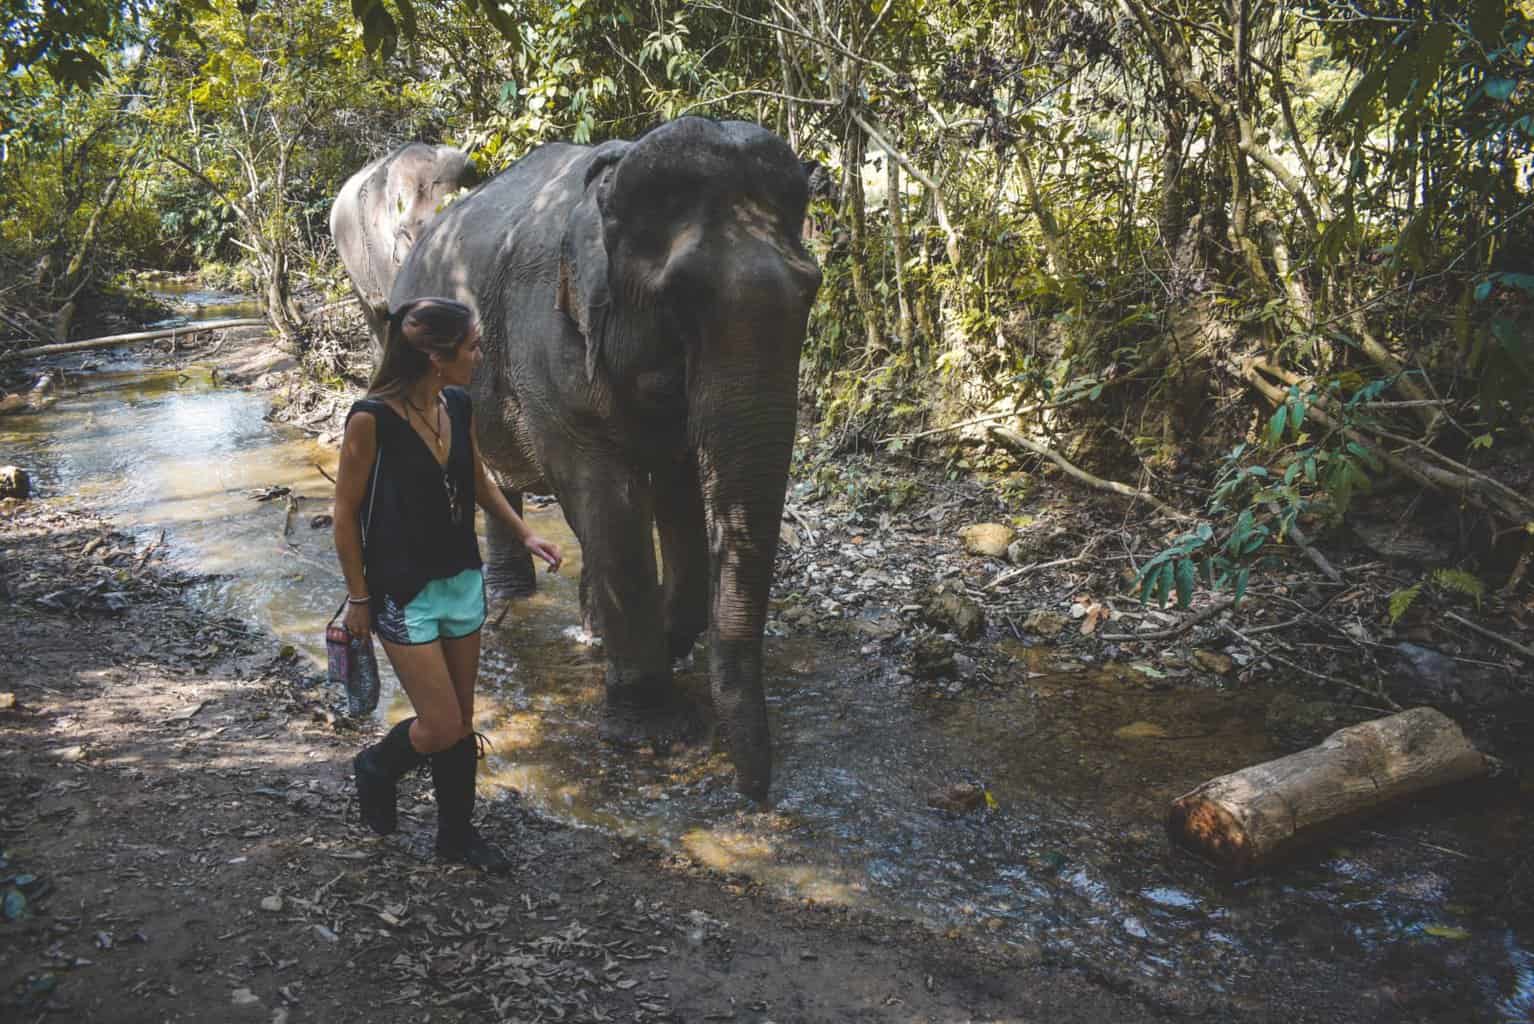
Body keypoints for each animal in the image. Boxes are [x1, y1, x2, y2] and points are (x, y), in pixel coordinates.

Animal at [389, 117, 822, 804]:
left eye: (812, 289)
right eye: (679, 297)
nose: (756, 793)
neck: (609, 183)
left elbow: (675, 482)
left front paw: (654, 638)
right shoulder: (546, 341)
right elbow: (608, 497)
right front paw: (653, 730)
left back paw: (583, 619)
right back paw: (516, 597)